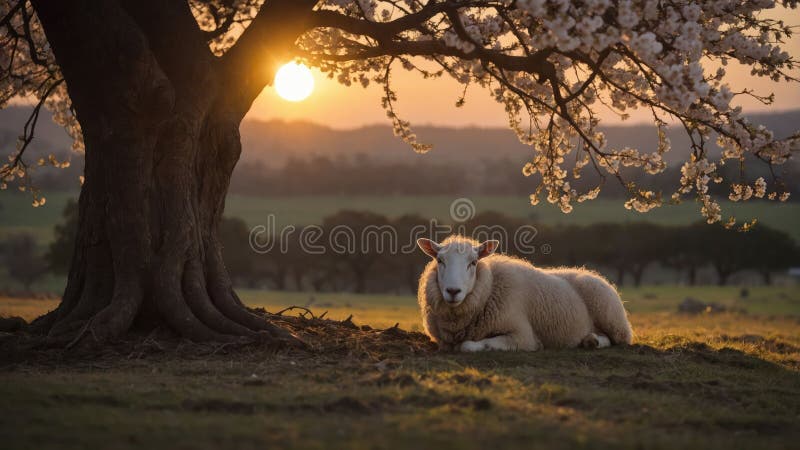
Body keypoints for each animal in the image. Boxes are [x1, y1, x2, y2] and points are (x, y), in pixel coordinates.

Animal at [416, 235, 633, 352]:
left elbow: (468, 345)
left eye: (473, 262)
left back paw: (594, 342)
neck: (489, 287)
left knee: (617, 340)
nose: (453, 291)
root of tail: (590, 273)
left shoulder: (522, 336)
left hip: (614, 320)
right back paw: (589, 340)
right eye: (440, 261)